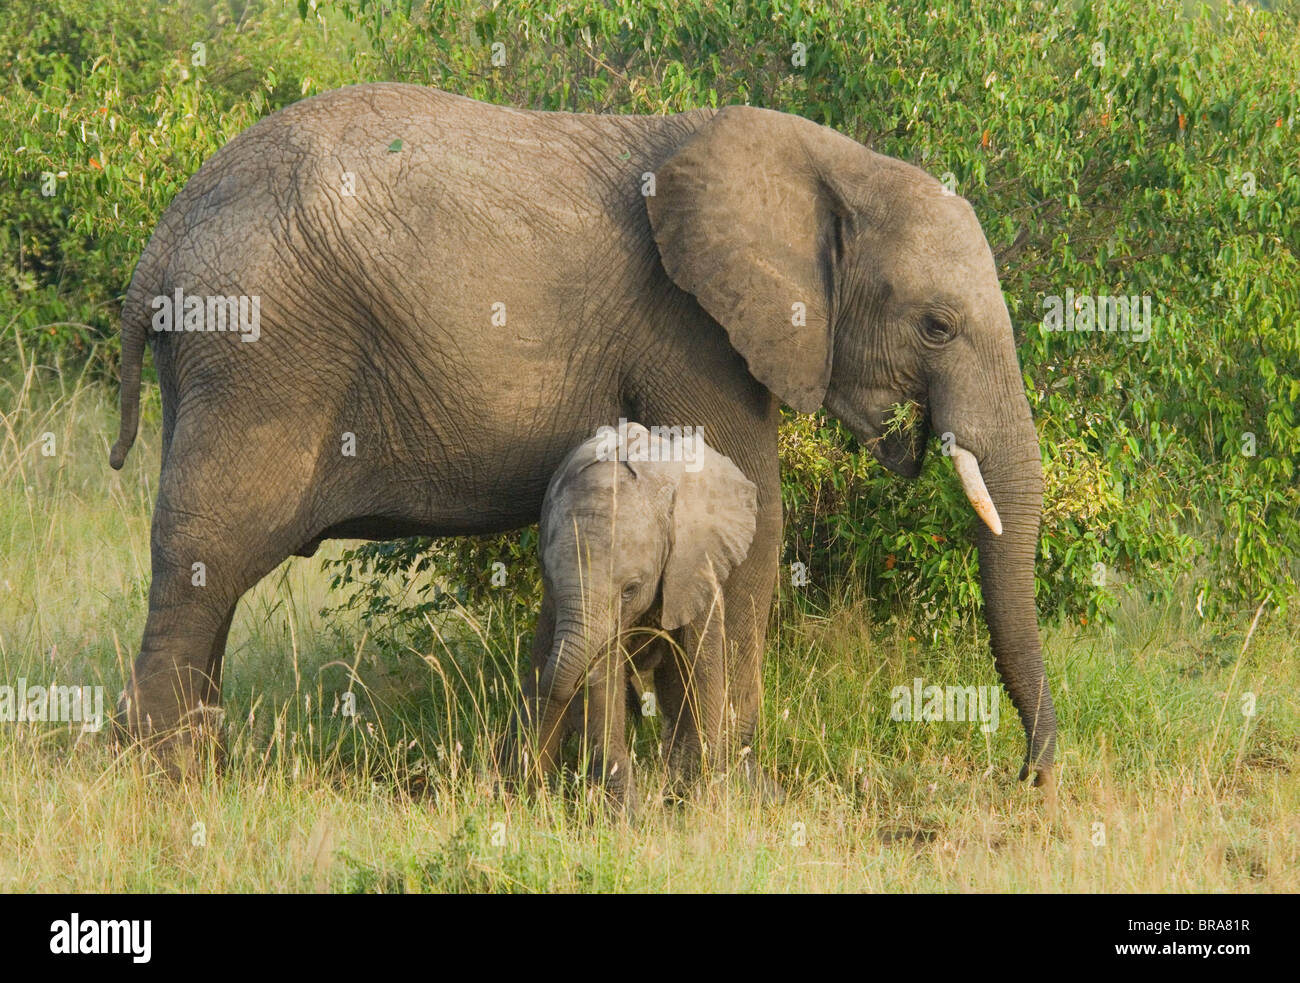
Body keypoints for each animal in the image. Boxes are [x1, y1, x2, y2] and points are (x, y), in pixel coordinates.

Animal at [524, 421, 756, 811]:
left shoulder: (697, 561)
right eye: (549, 580)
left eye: (630, 589)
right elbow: (603, 695)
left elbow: (702, 667)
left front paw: (702, 804)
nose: (586, 671)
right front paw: (627, 818)